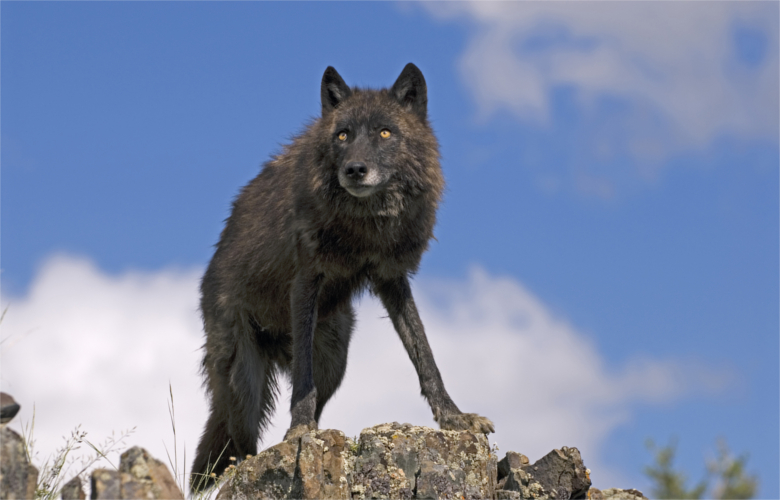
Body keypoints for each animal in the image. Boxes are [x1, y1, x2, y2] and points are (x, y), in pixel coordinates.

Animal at [191, 63, 494, 491]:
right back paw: (250, 466)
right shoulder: (306, 280)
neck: (365, 225)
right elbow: (303, 377)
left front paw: (454, 418)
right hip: (242, 380)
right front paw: (300, 431)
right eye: (342, 135)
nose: (354, 170)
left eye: (385, 133)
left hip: (336, 360)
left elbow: (425, 356)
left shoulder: (392, 279)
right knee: (239, 441)